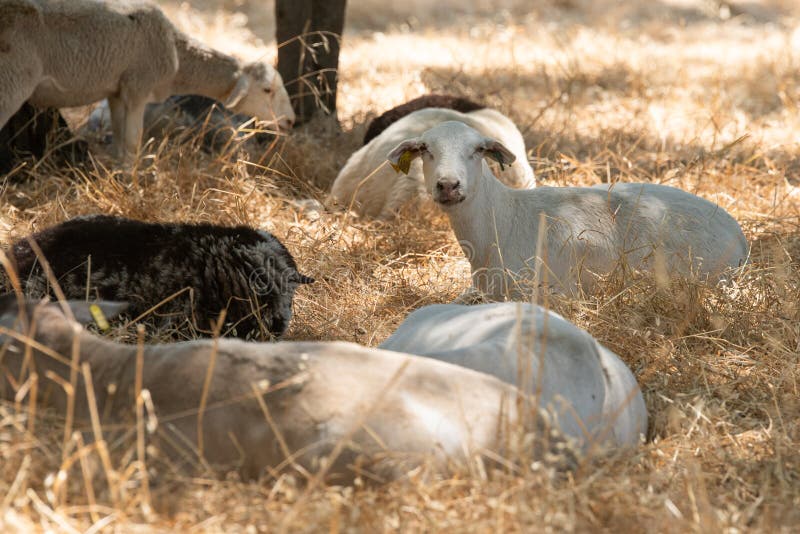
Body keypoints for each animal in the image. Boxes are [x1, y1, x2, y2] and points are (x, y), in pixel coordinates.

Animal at [0, 0, 295, 159]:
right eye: (267, 90)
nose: (291, 121)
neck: (177, 54)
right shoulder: (137, 88)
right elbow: (133, 144)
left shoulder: (116, 92)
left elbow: (120, 144)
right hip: (10, 81)